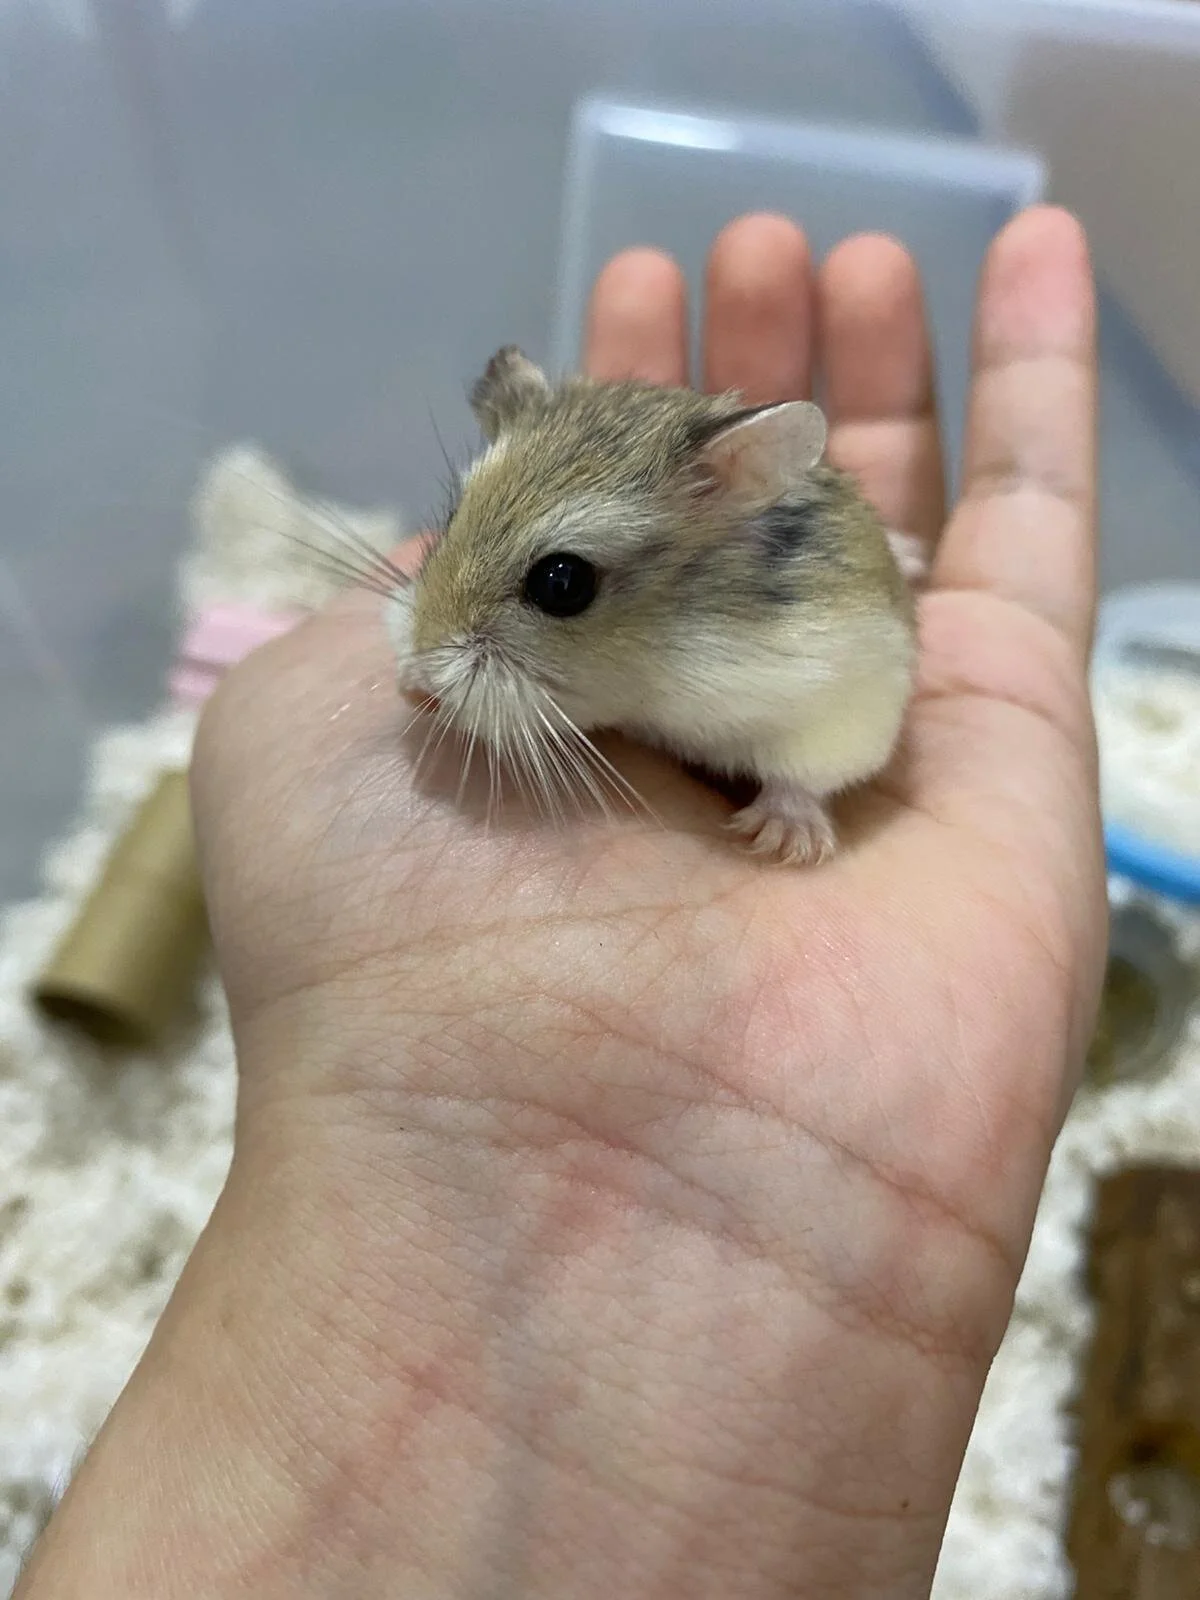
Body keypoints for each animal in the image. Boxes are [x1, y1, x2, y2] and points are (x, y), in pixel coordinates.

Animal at [386, 345, 925, 866]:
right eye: (452, 518)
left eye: (562, 583)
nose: (425, 686)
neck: (665, 654)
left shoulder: (842, 701)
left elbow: (801, 778)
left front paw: (782, 840)